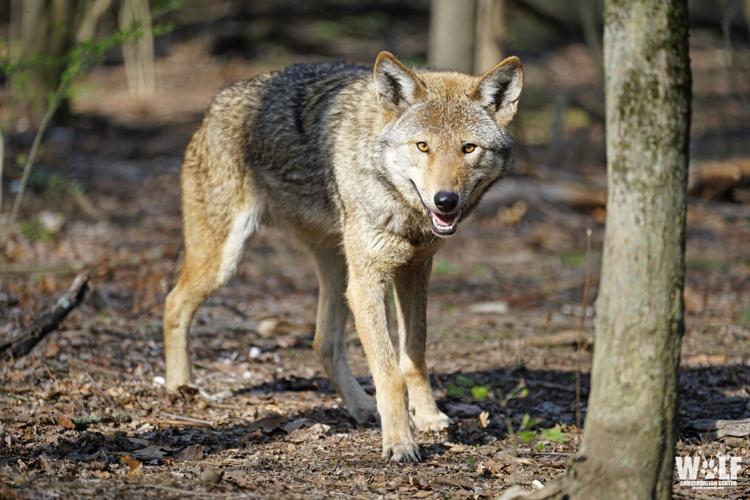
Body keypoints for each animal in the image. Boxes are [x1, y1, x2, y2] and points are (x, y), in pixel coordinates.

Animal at [162, 51, 522, 462]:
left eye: (468, 148)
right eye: (422, 146)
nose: (445, 200)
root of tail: (213, 104)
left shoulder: (415, 271)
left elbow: (414, 357)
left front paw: (429, 418)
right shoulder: (369, 282)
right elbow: (389, 373)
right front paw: (400, 442)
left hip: (337, 268)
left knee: (323, 341)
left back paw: (362, 407)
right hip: (225, 261)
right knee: (173, 304)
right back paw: (180, 389)